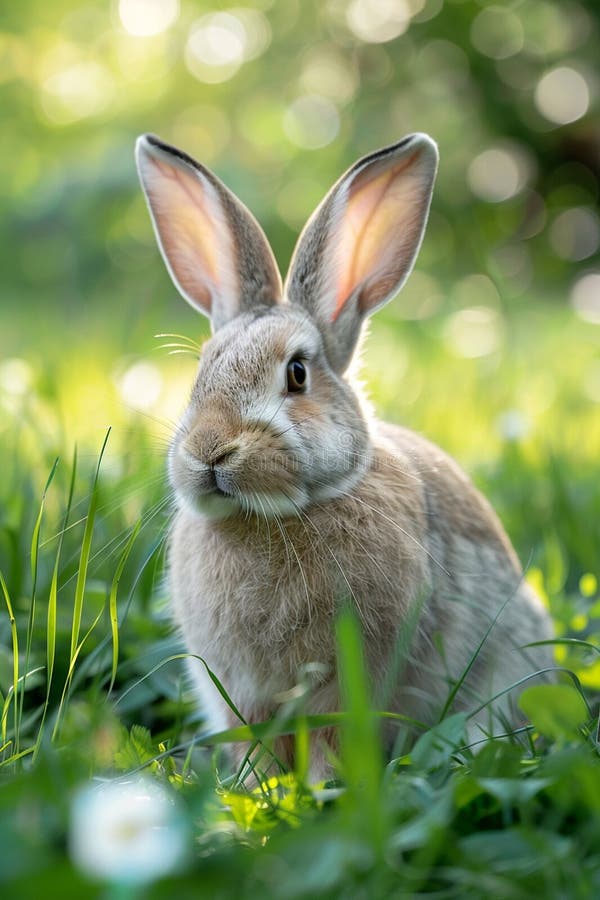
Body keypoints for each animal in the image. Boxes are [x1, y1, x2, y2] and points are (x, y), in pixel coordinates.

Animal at [135, 132, 554, 782]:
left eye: (297, 374)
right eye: (201, 372)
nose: (209, 452)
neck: (277, 516)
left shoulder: (353, 680)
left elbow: (334, 739)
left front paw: (321, 789)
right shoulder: (241, 694)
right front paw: (256, 788)